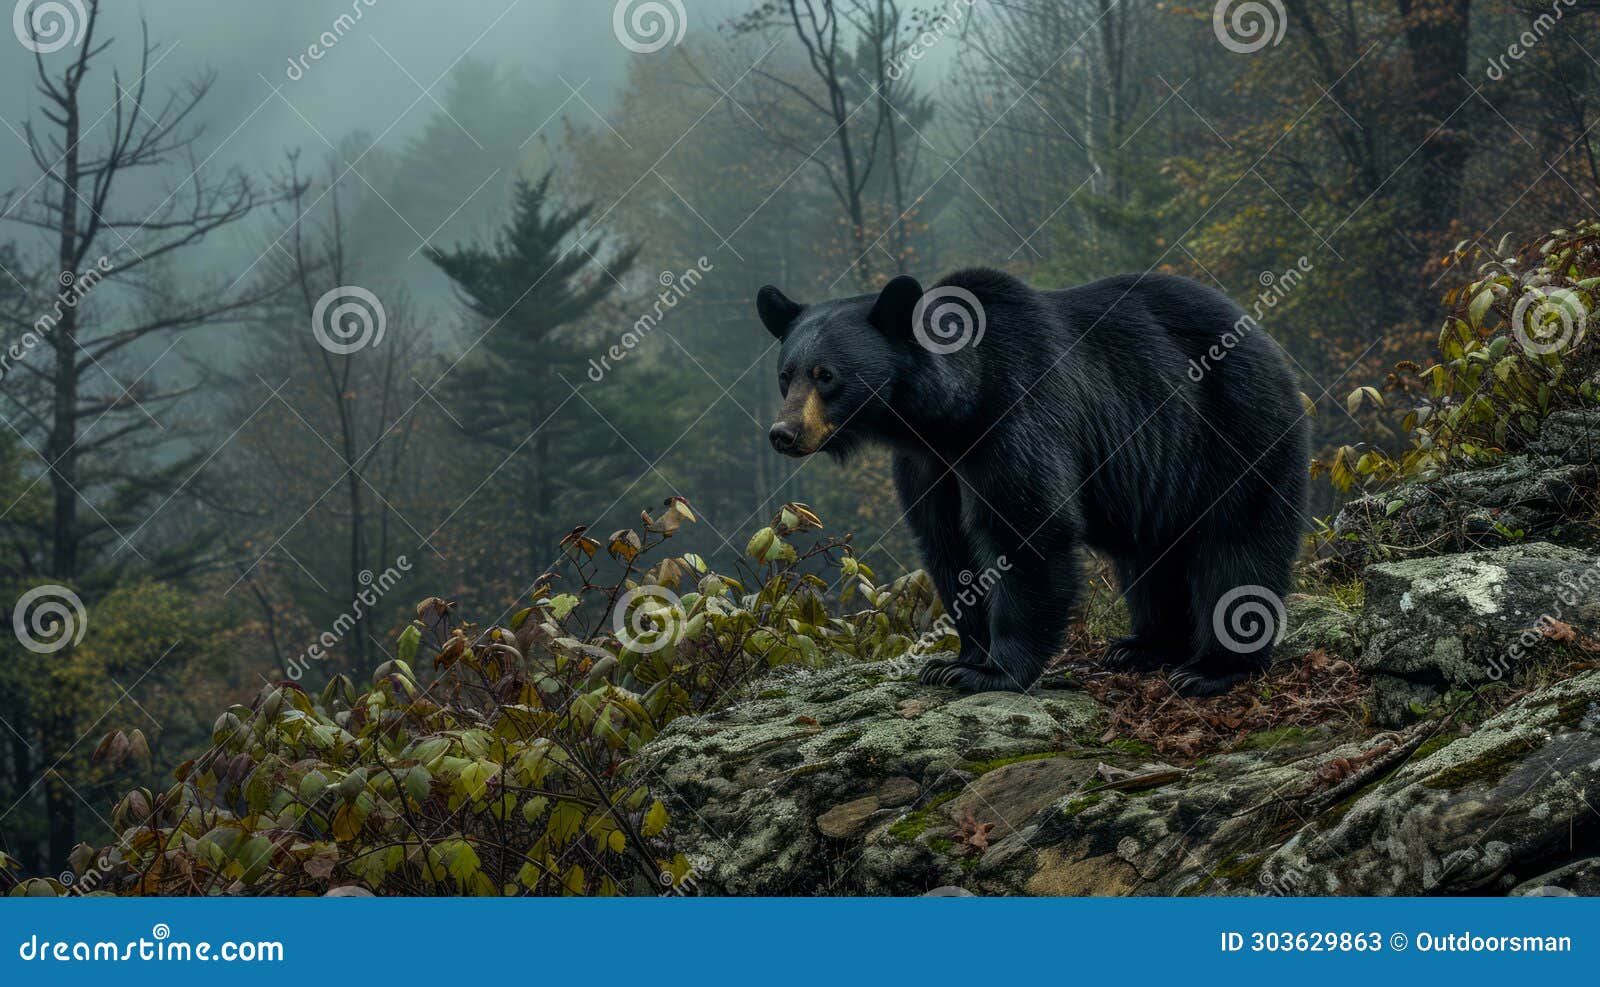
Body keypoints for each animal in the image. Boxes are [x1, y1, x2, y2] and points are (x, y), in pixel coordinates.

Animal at [755, 267, 1309, 696]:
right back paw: (1142, 646)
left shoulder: (1016, 418)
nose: (783, 433)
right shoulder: (929, 465)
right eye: (785, 375)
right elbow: (946, 544)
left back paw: (1210, 668)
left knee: (1237, 543)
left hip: (1234, 427)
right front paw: (957, 659)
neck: (949, 418)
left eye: (826, 374)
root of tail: (1267, 342)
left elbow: (1025, 529)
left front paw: (992, 671)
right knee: (1149, 558)